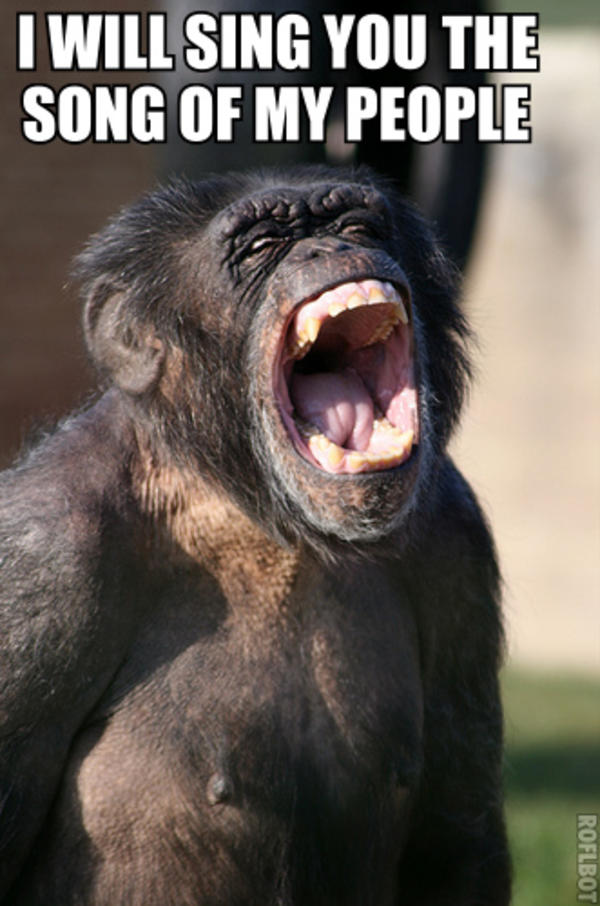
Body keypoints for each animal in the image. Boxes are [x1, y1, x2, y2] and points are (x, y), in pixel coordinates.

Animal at [0, 167, 510, 905]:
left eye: (358, 225)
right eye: (263, 245)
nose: (329, 249)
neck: (257, 515)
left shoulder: (456, 541)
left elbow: (456, 840)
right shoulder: (42, 564)